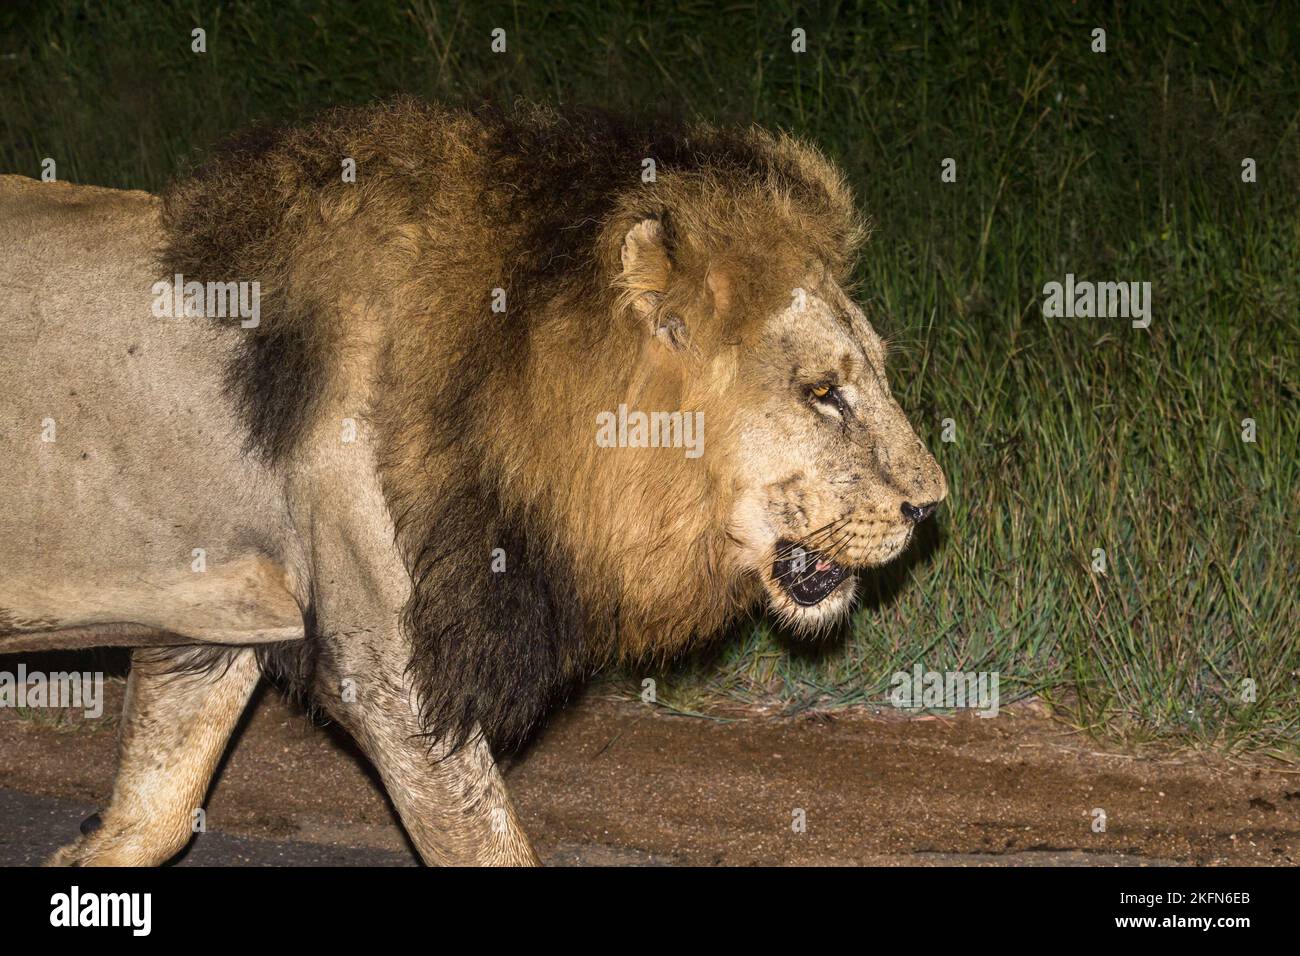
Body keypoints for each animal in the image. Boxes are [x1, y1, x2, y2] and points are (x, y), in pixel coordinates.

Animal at [0, 100, 946, 866]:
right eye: (822, 393)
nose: (930, 506)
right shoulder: (388, 669)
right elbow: (487, 843)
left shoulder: (215, 619)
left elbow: (150, 818)